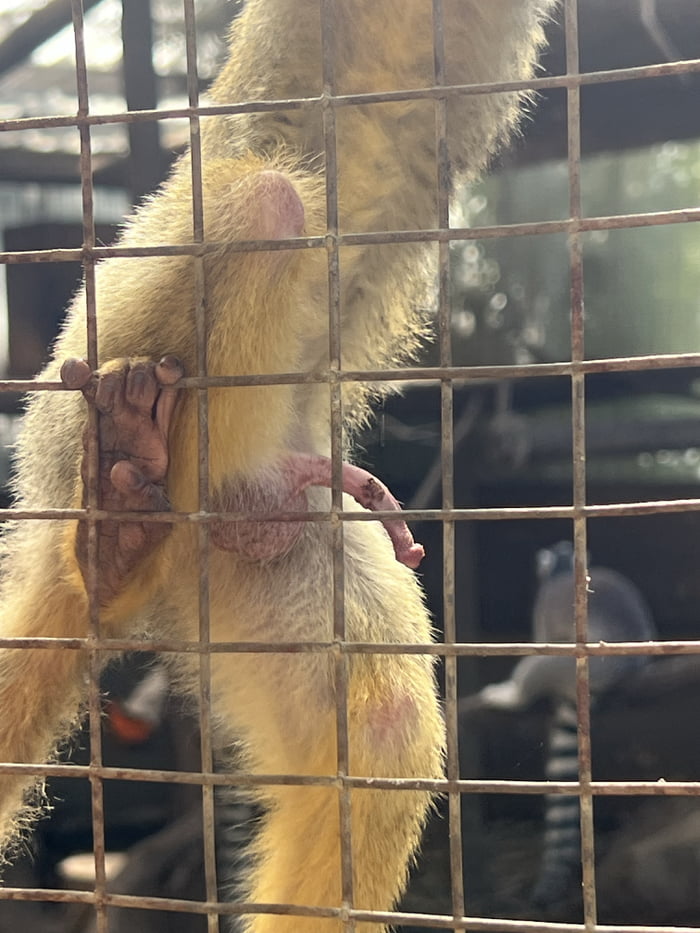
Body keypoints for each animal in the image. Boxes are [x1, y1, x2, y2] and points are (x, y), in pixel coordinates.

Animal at [0, 1, 557, 930]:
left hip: (232, 558)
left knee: (383, 730)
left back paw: (130, 537)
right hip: (83, 361)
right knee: (265, 199)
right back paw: (118, 526)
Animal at [471, 541, 656, 911]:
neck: (564, 569)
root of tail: (623, 668)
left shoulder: (544, 607)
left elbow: (541, 639)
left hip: (573, 665)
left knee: (541, 663)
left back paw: (510, 696)